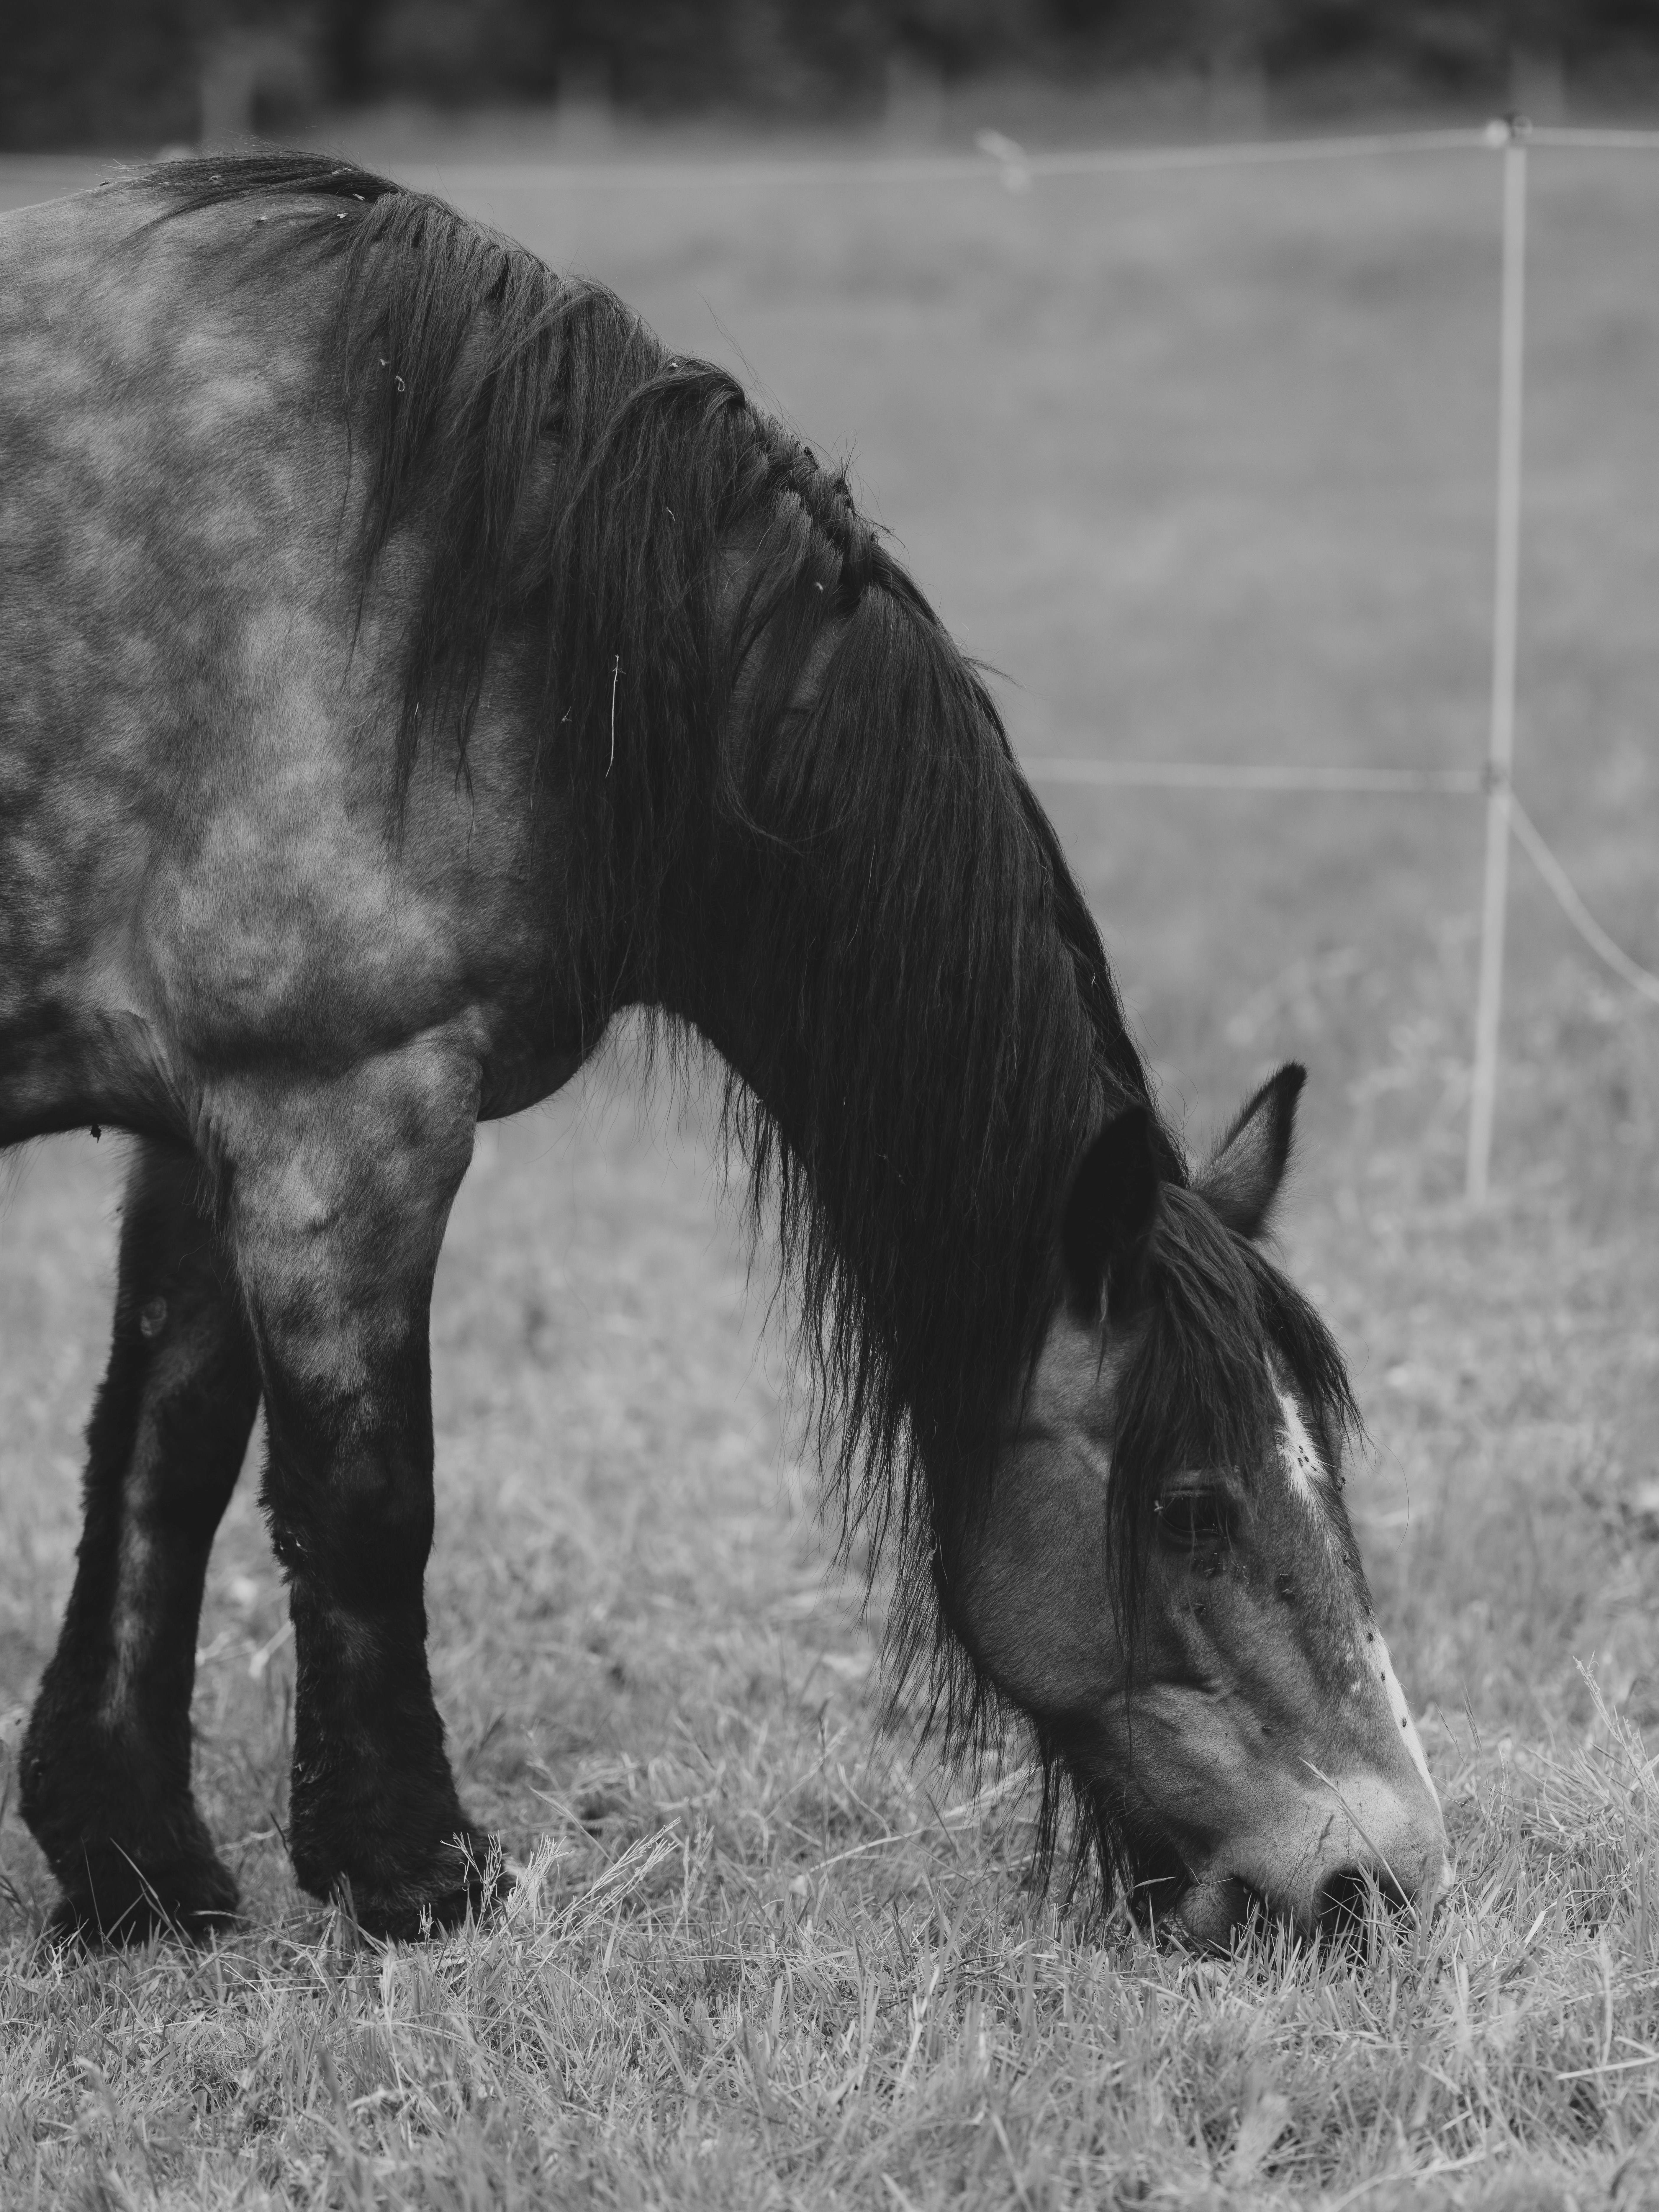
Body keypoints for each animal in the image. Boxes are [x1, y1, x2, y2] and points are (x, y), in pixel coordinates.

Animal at [0, 153, 1449, 1947]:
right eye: (1186, 1507)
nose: (1377, 1871)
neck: (455, 586)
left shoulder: (210, 1123)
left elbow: (160, 1463)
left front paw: (135, 1863)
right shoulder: (342, 1116)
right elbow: (367, 1496)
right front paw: (413, 1871)